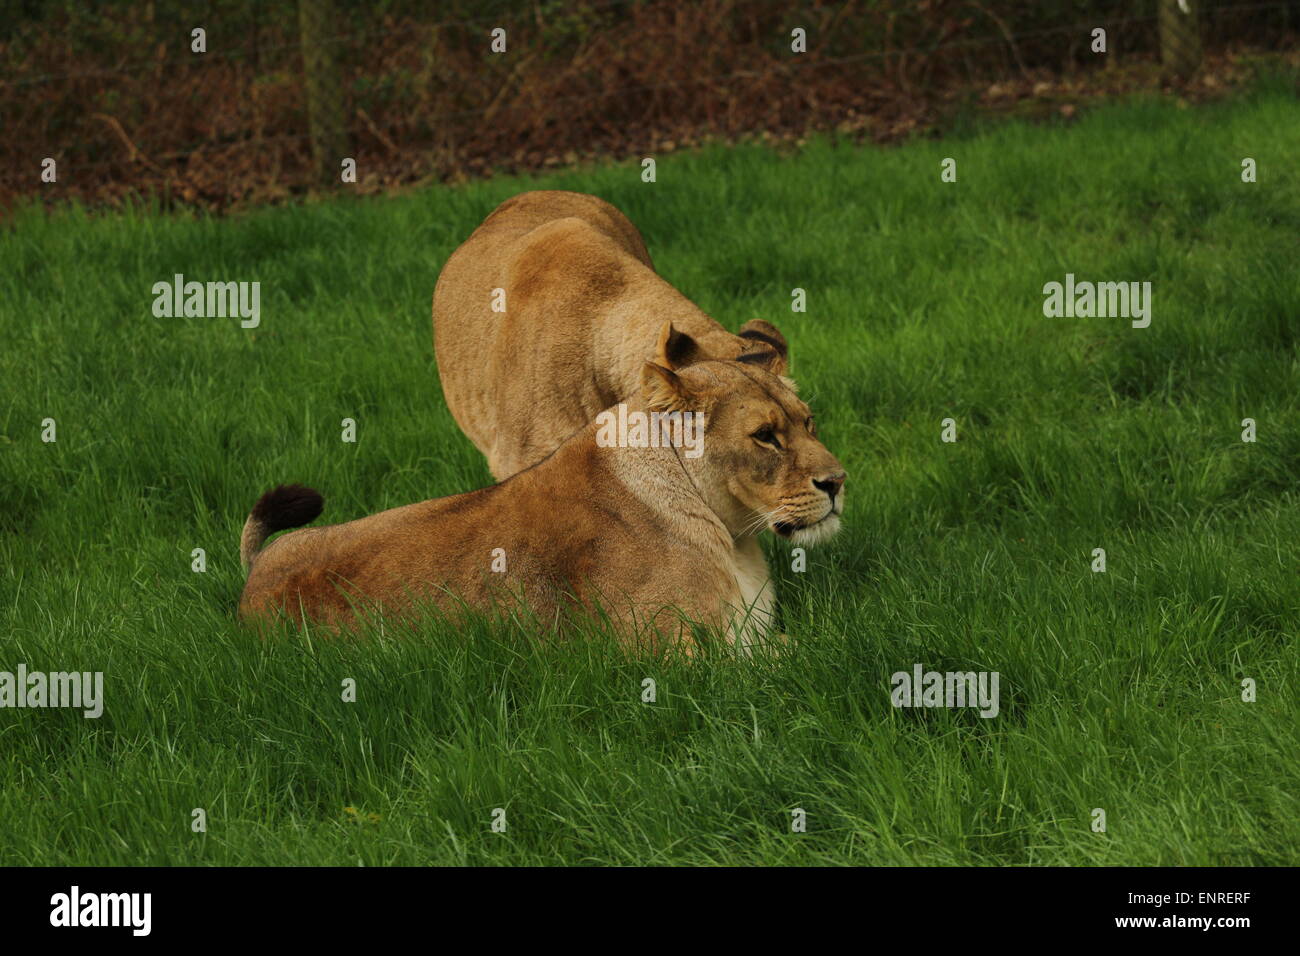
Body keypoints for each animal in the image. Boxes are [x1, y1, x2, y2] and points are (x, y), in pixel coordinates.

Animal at [238, 344, 845, 651]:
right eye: (765, 435)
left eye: (809, 422)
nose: (838, 481)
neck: (733, 537)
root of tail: (257, 569)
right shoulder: (669, 653)